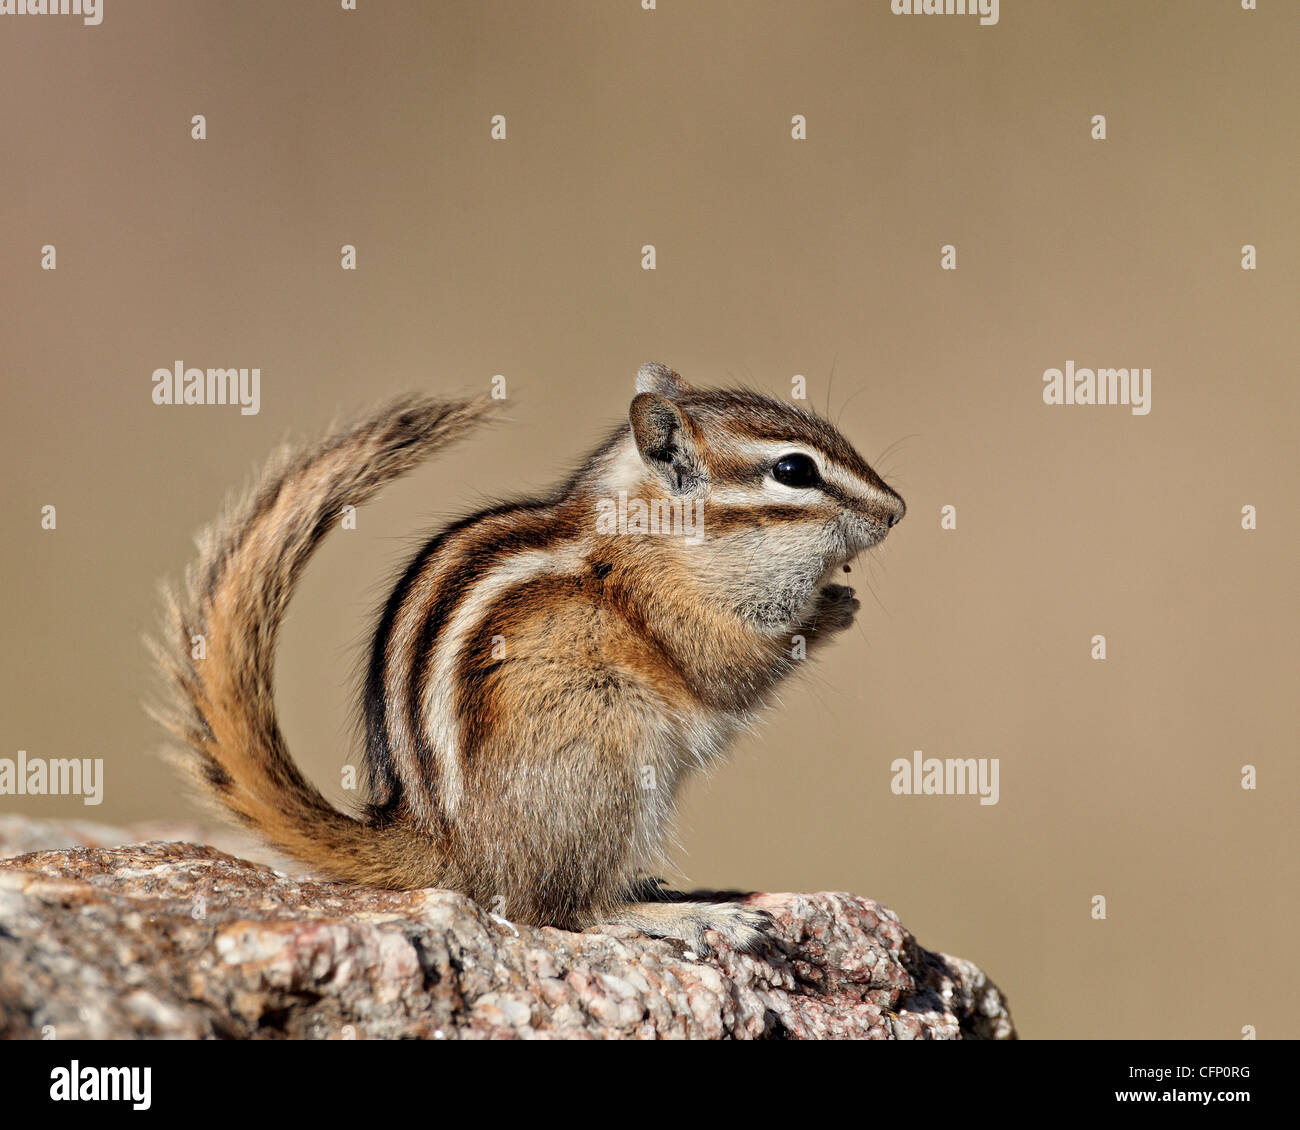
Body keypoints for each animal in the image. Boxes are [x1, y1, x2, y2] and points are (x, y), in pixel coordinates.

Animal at [152, 363, 905, 954]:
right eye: (793, 470)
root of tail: (445, 846)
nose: (897, 510)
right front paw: (830, 609)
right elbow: (731, 666)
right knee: (562, 907)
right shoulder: (675, 612)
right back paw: (685, 916)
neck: (652, 533)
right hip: (607, 758)